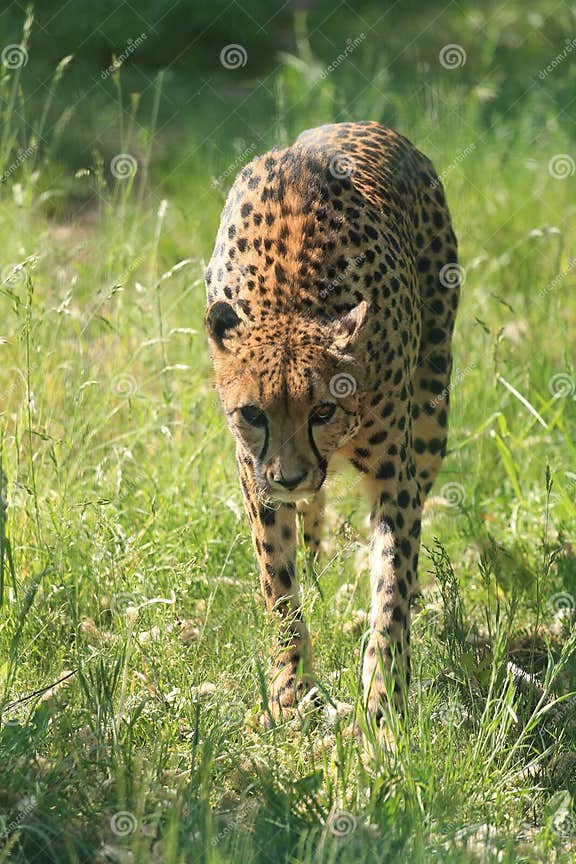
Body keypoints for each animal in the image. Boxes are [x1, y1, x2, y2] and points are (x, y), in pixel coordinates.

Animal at [204, 120, 460, 726]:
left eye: (323, 410)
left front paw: (384, 699)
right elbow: (278, 583)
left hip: (432, 413)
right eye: (254, 414)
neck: (294, 299)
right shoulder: (254, 475)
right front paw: (290, 688)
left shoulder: (395, 475)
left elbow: (391, 583)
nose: (291, 476)